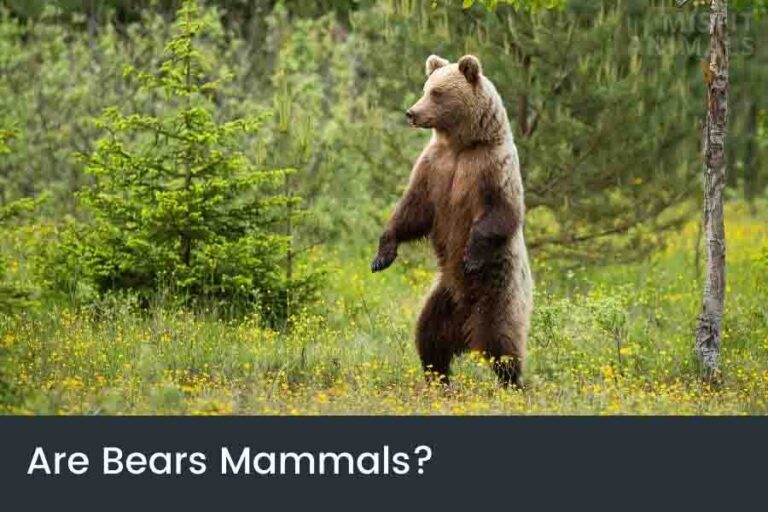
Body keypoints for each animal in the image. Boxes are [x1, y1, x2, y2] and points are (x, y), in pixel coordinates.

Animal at [371, 54, 533, 387]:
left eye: (437, 93)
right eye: (426, 87)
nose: (411, 112)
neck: (461, 145)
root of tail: (467, 336)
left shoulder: (493, 168)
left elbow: (501, 213)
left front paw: (471, 255)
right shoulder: (434, 168)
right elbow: (412, 211)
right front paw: (382, 255)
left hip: (498, 297)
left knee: (503, 347)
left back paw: (512, 384)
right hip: (443, 299)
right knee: (429, 338)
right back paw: (438, 379)